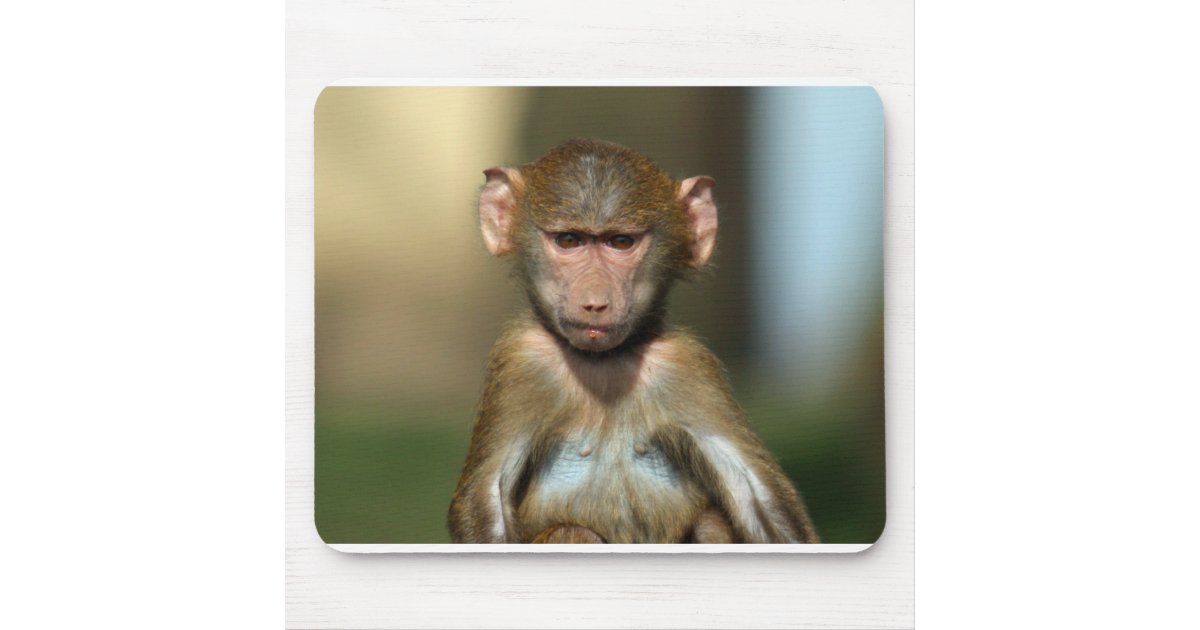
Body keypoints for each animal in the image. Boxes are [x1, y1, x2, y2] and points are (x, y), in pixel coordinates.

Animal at [448, 138, 818, 544]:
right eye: (569, 240)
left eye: (621, 242)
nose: (596, 302)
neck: (604, 361)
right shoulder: (521, 361)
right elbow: (488, 499)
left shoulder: (687, 365)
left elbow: (759, 498)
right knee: (573, 533)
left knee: (711, 522)